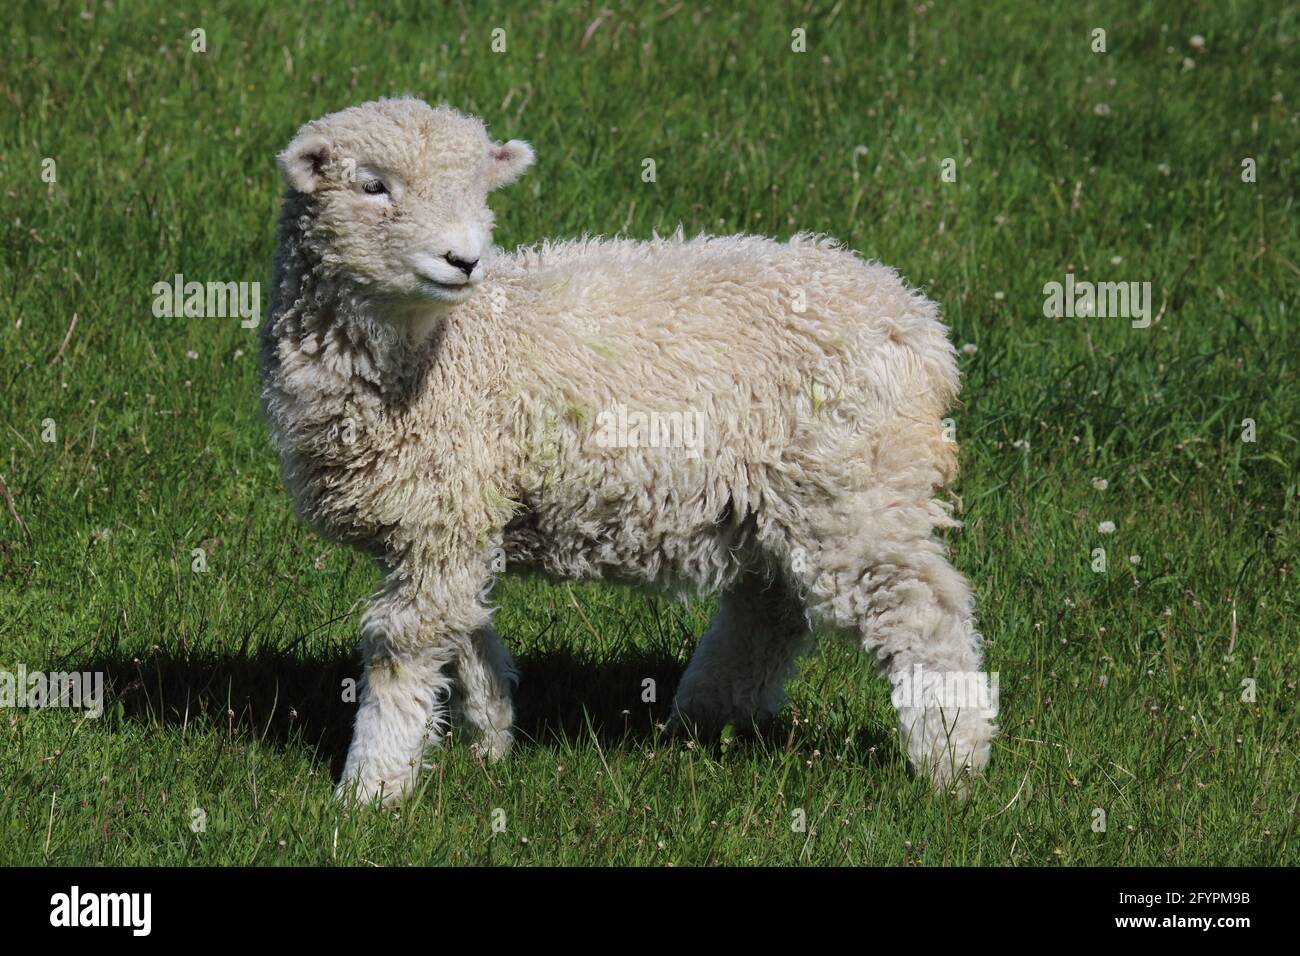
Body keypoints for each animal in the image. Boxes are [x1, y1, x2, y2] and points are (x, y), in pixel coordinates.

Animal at [260, 96, 997, 806]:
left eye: (477, 190)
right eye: (372, 187)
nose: (463, 260)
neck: (449, 346)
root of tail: (917, 323)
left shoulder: (444, 512)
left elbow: (402, 646)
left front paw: (370, 789)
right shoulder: (451, 516)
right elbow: (464, 627)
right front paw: (489, 736)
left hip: (854, 487)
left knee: (921, 615)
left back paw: (954, 763)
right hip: (788, 490)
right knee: (770, 609)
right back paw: (703, 721)